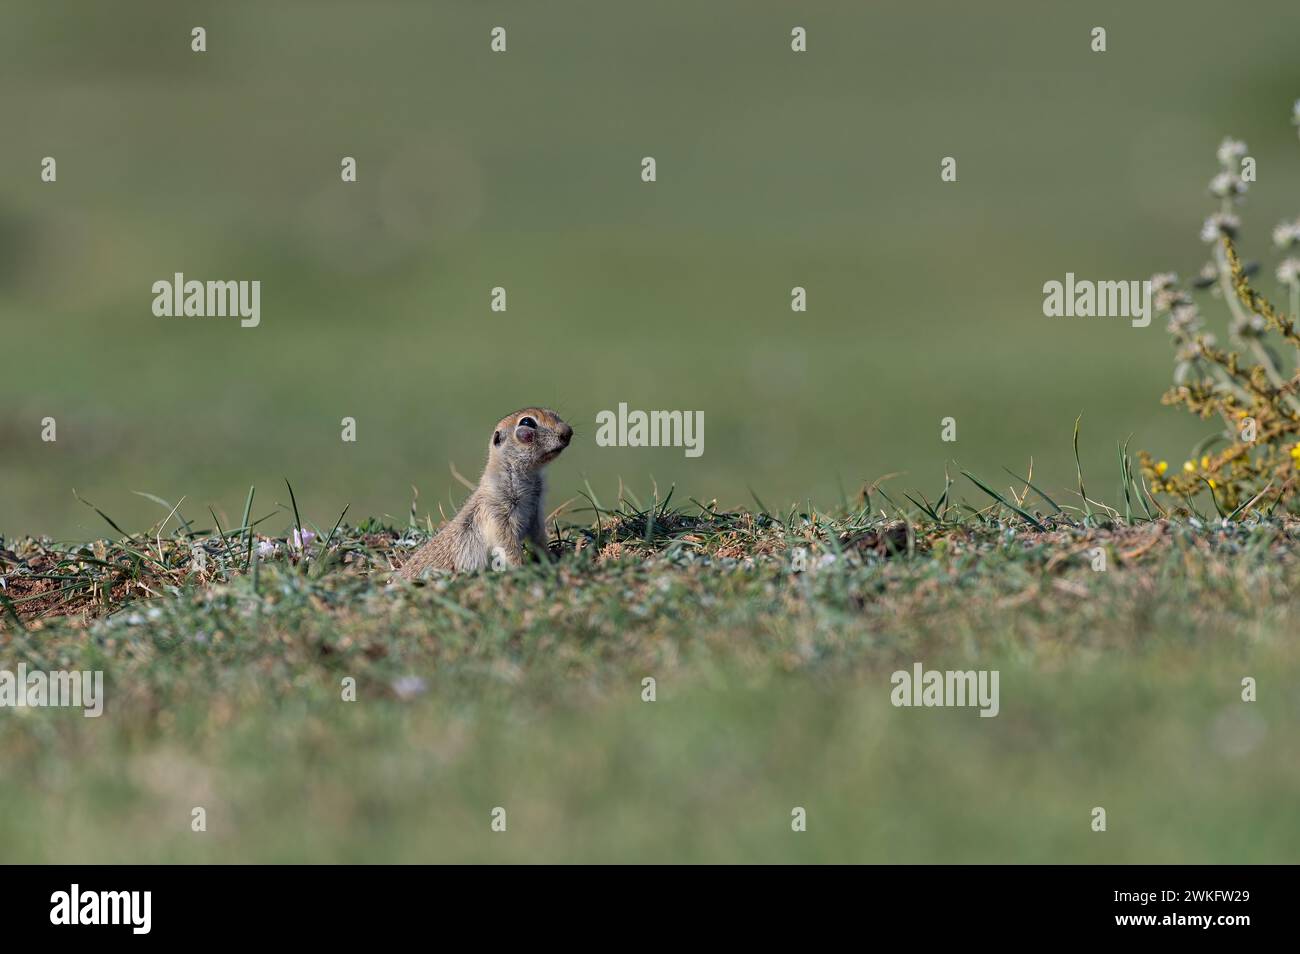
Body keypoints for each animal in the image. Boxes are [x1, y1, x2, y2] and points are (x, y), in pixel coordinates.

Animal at [396, 407, 573, 579]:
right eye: (527, 422)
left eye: (555, 414)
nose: (568, 431)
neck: (528, 475)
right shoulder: (496, 510)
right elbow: (506, 542)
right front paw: (522, 567)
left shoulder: (536, 511)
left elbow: (538, 536)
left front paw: (549, 557)